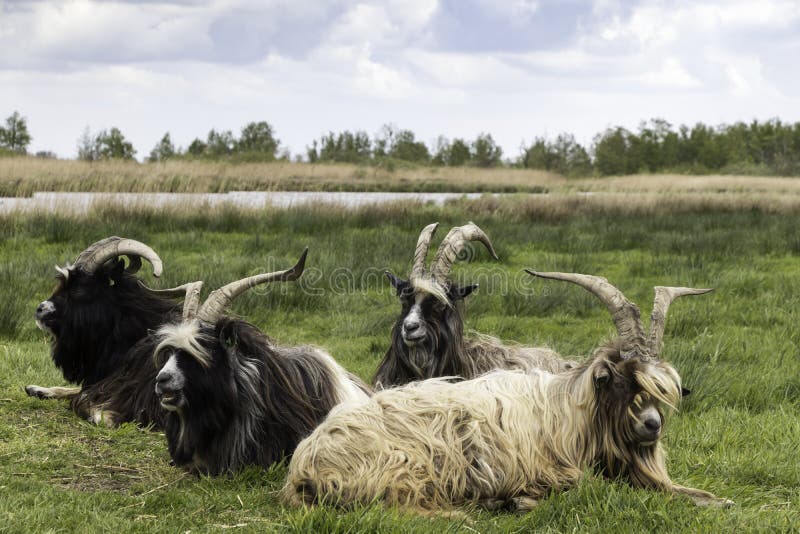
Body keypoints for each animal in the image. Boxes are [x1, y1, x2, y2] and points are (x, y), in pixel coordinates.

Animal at [283, 271, 732, 513]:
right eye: (620, 379)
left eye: (659, 387)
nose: (652, 424)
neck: (569, 413)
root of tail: (302, 463)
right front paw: (517, 500)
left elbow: (702, 495)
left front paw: (720, 501)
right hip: (408, 466)